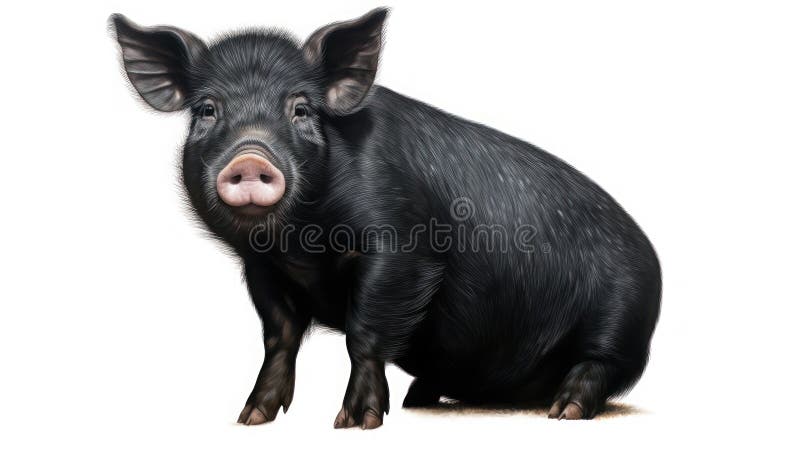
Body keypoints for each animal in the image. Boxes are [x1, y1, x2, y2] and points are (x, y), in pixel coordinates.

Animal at [110, 8, 661, 429]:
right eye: (207, 110)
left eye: (300, 110)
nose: (250, 155)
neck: (299, 243)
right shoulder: (262, 268)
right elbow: (279, 337)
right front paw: (251, 418)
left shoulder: (403, 249)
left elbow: (363, 333)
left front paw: (355, 423)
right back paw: (423, 397)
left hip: (621, 313)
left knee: (600, 364)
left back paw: (564, 412)